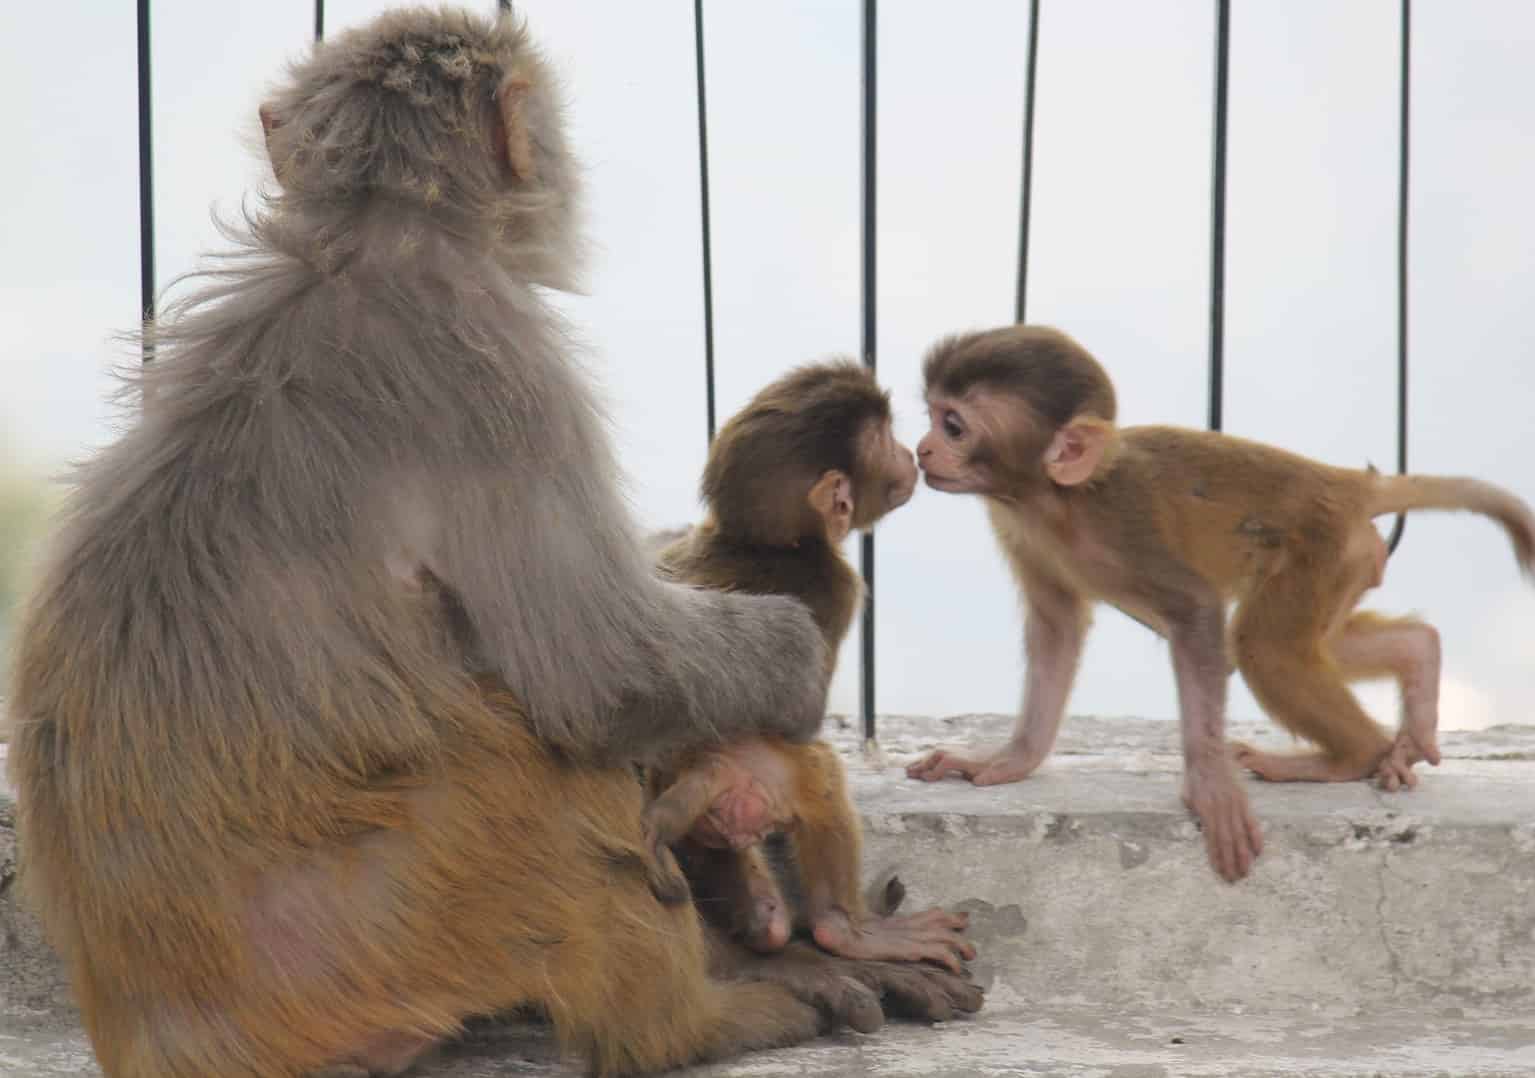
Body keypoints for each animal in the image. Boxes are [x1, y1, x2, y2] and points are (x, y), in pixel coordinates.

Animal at [636, 360, 977, 977]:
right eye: (884, 441)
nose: (910, 452)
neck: (775, 543)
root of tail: (703, 770)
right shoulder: (841, 584)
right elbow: (802, 716)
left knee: (765, 918)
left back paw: (764, 922)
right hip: (764, 777)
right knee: (819, 772)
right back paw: (847, 930)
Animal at [903, 324, 1535, 884]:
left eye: (954, 426)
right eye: (933, 416)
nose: (923, 448)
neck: (1055, 499)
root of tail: (1346, 483)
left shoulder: (1123, 526)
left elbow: (1197, 613)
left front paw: (1209, 784)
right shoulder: (1019, 528)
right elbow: (1056, 626)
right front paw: (1011, 759)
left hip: (1321, 547)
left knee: (1263, 647)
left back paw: (1349, 756)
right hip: (1351, 559)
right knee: (1313, 641)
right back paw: (1417, 658)